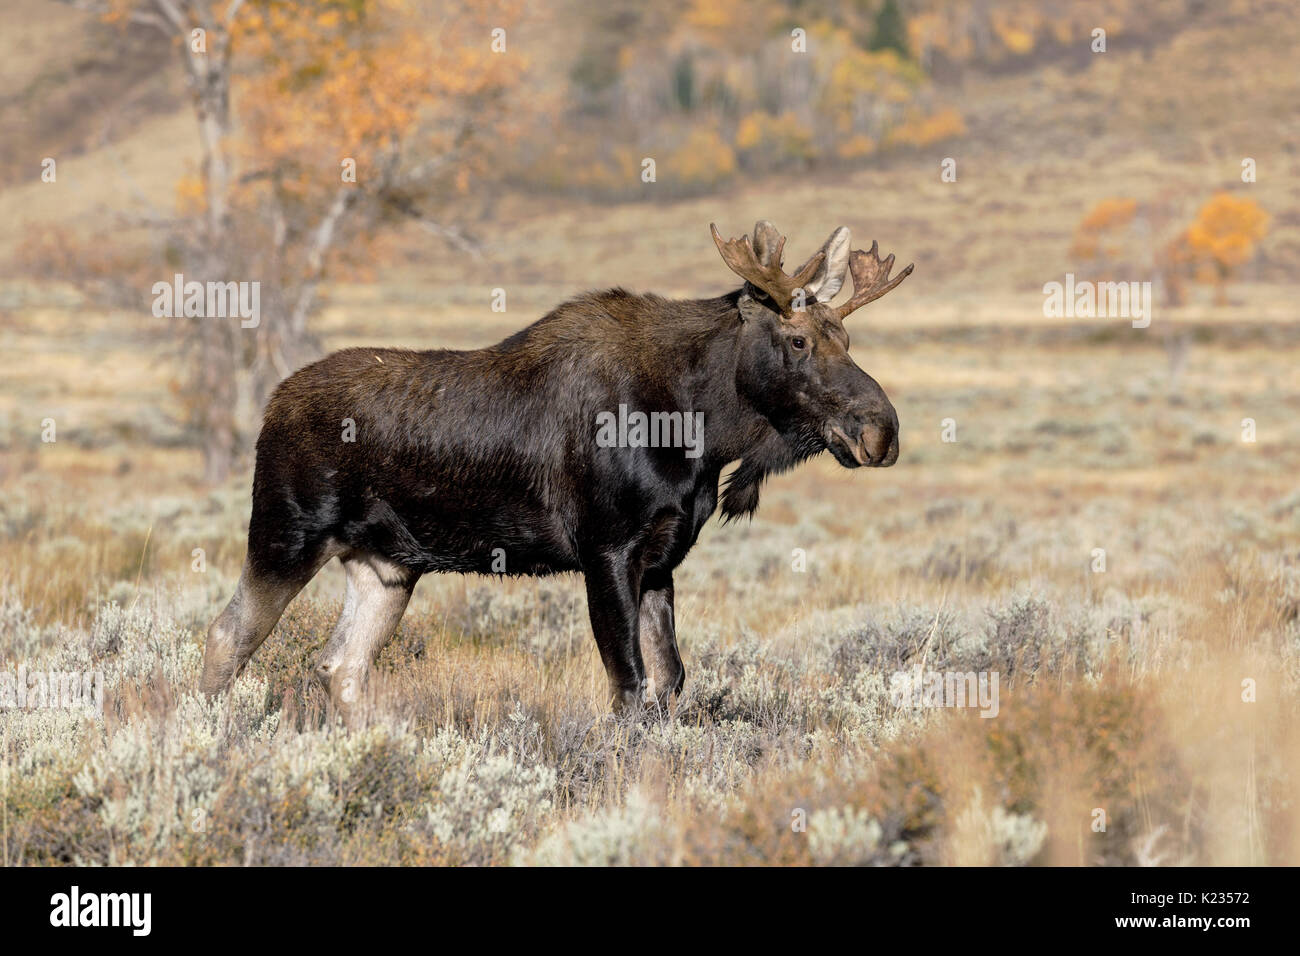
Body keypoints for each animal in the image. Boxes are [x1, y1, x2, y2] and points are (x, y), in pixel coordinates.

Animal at [200, 220, 913, 723]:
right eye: (797, 340)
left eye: (846, 339)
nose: (882, 431)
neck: (700, 429)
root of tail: (271, 407)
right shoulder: (606, 548)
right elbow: (629, 686)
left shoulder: (662, 557)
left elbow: (670, 682)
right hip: (286, 537)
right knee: (227, 636)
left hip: (386, 565)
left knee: (340, 666)